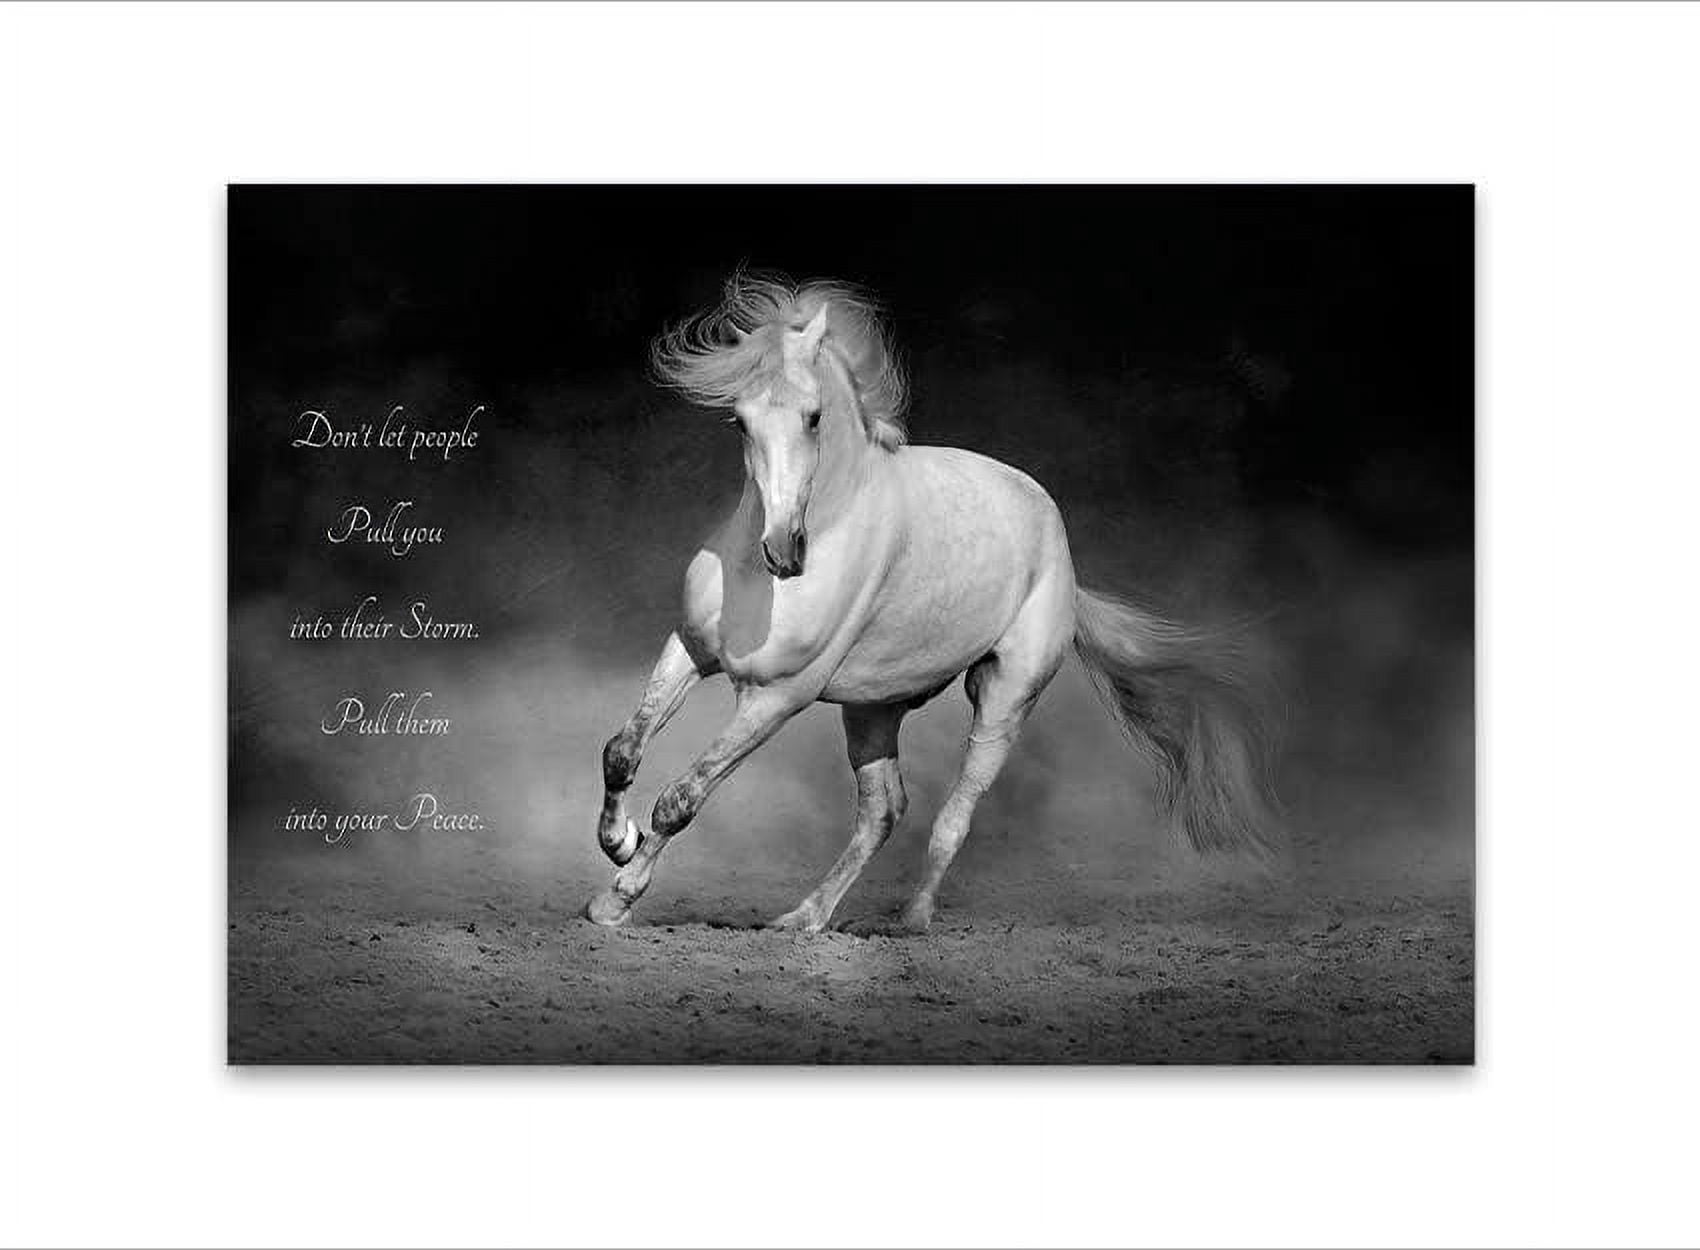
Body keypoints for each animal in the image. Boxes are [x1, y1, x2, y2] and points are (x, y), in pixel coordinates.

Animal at [586, 273, 1278, 932]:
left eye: (814, 417)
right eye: (739, 420)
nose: (783, 551)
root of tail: (1061, 552)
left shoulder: (777, 698)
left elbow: (683, 797)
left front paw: (615, 900)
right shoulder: (691, 650)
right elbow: (622, 749)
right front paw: (618, 842)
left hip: (1002, 697)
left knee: (953, 816)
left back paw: (910, 920)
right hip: (872, 709)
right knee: (883, 811)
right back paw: (803, 919)